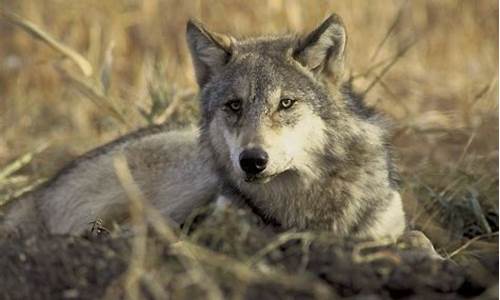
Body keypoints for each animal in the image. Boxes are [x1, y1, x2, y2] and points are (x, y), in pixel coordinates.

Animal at [0, 12, 406, 240]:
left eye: (286, 103)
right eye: (234, 105)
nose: (252, 161)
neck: (305, 207)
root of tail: (38, 193)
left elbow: (408, 238)